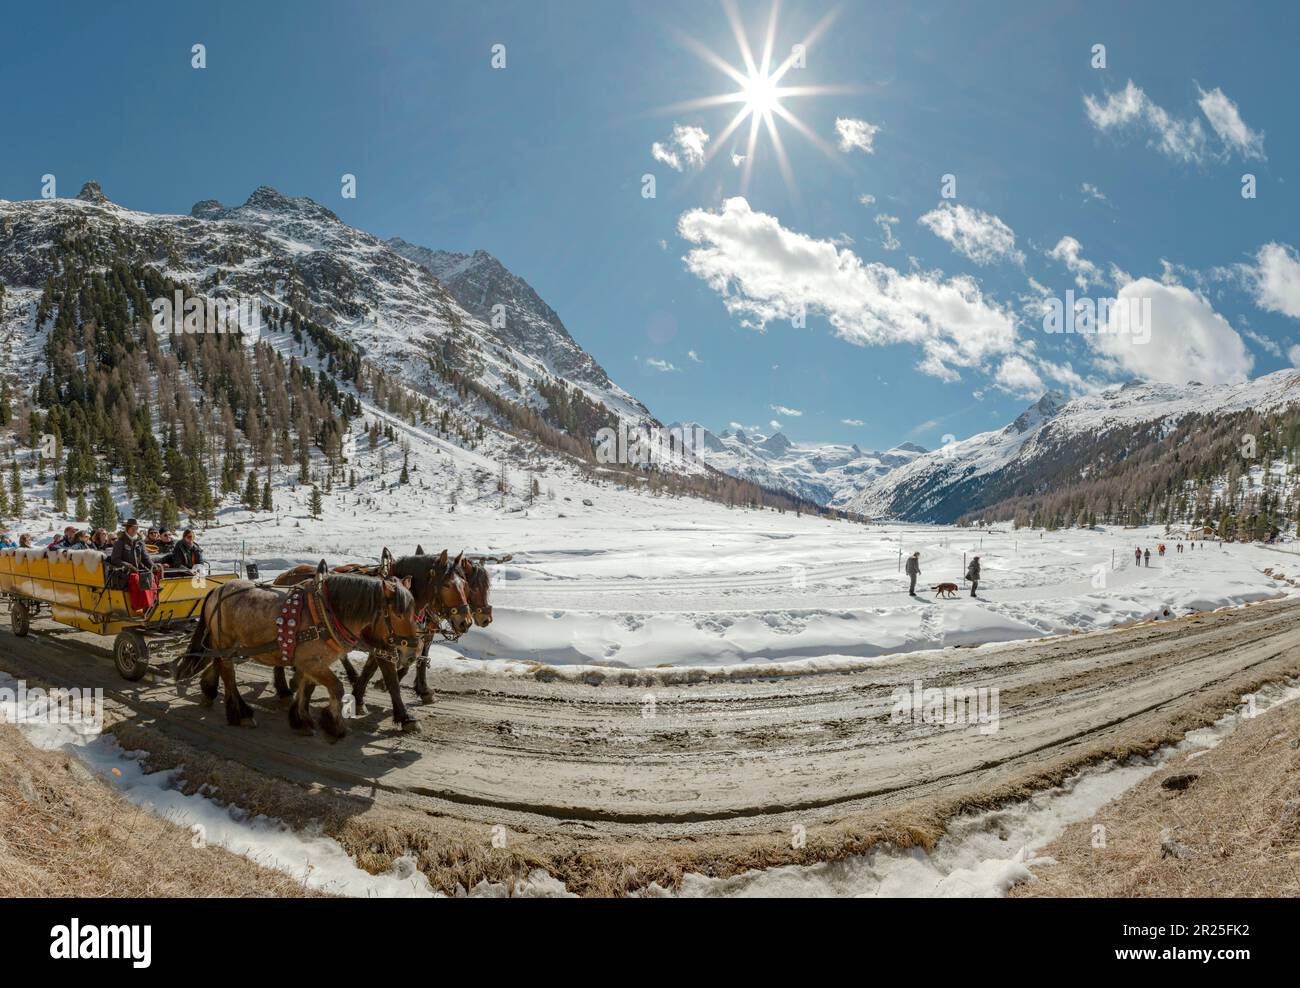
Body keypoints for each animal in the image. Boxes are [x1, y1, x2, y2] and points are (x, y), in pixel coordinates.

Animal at [179, 562, 419, 741]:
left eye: (416, 612)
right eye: (398, 614)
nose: (412, 654)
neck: (326, 612)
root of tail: (217, 589)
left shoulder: (310, 662)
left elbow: (307, 688)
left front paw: (300, 720)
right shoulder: (313, 662)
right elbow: (337, 688)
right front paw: (334, 725)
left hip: (224, 645)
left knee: (217, 663)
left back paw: (208, 691)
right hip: (227, 644)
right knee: (228, 673)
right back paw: (241, 714)